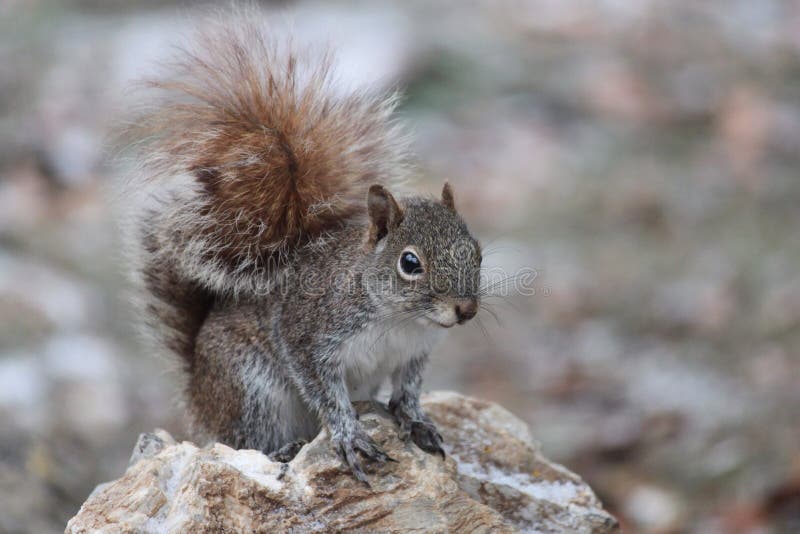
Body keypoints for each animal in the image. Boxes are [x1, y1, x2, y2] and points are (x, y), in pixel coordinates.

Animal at [122, 13, 482, 484]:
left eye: (476, 250)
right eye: (409, 262)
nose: (466, 310)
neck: (399, 319)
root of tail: (197, 396)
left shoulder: (414, 355)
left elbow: (408, 394)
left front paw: (416, 421)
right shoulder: (308, 335)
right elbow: (326, 392)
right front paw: (349, 435)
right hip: (250, 391)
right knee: (245, 442)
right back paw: (282, 451)